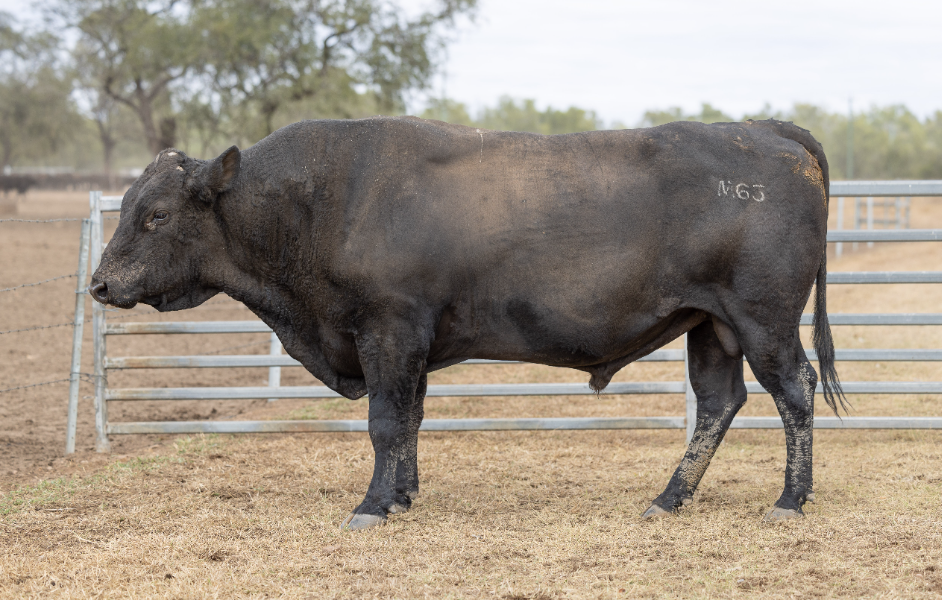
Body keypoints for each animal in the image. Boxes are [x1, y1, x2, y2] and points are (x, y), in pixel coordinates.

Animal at [89, 116, 845, 530]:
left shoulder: (389, 328)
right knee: (720, 403)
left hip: (763, 318)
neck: (321, 199)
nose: (99, 283)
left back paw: (790, 500)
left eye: (156, 215)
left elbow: (385, 422)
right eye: (125, 206)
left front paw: (371, 507)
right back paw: (667, 499)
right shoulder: (409, 345)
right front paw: (401, 497)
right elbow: (411, 419)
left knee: (794, 393)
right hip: (709, 325)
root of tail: (764, 130)